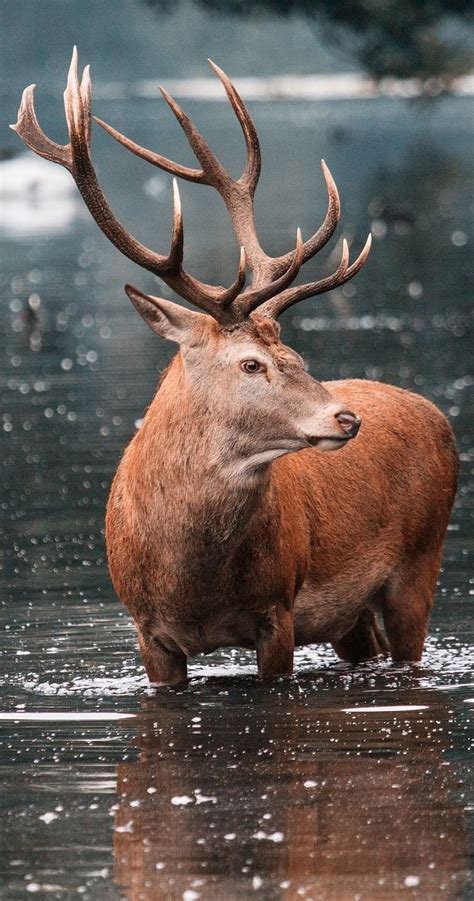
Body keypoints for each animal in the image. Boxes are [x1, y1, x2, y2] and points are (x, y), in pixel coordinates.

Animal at [12, 49, 458, 685]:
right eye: (251, 364)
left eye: (296, 356)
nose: (347, 419)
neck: (191, 584)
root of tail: (437, 415)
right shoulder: (146, 632)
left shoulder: (279, 610)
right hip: (351, 615)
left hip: (421, 560)